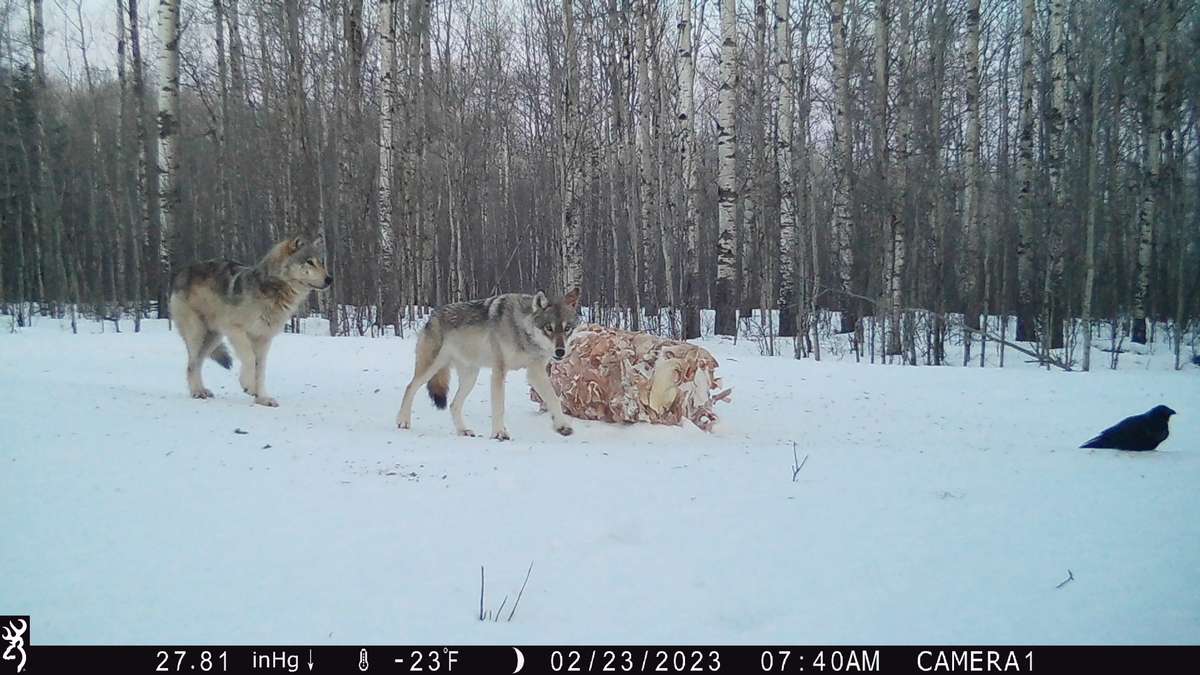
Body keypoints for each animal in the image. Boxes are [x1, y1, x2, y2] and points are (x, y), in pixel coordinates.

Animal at [168, 235, 332, 406]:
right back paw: (197, 392)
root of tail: (181, 272)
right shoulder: (236, 330)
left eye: (321, 262)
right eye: (309, 262)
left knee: (198, 362)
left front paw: (262, 398)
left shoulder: (264, 339)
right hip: (197, 334)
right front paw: (248, 385)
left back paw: (202, 390)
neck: (274, 291)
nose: (330, 279)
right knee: (191, 365)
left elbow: (260, 370)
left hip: (213, 338)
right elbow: (250, 359)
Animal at [396, 288, 581, 440]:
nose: (560, 352)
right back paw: (402, 421)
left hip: (470, 377)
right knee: (409, 387)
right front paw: (499, 433)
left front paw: (563, 426)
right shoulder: (499, 371)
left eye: (567, 329)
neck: (522, 332)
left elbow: (554, 400)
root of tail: (432, 316)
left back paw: (463, 431)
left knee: (453, 404)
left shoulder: (536, 373)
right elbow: (499, 407)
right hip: (431, 368)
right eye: (549, 328)